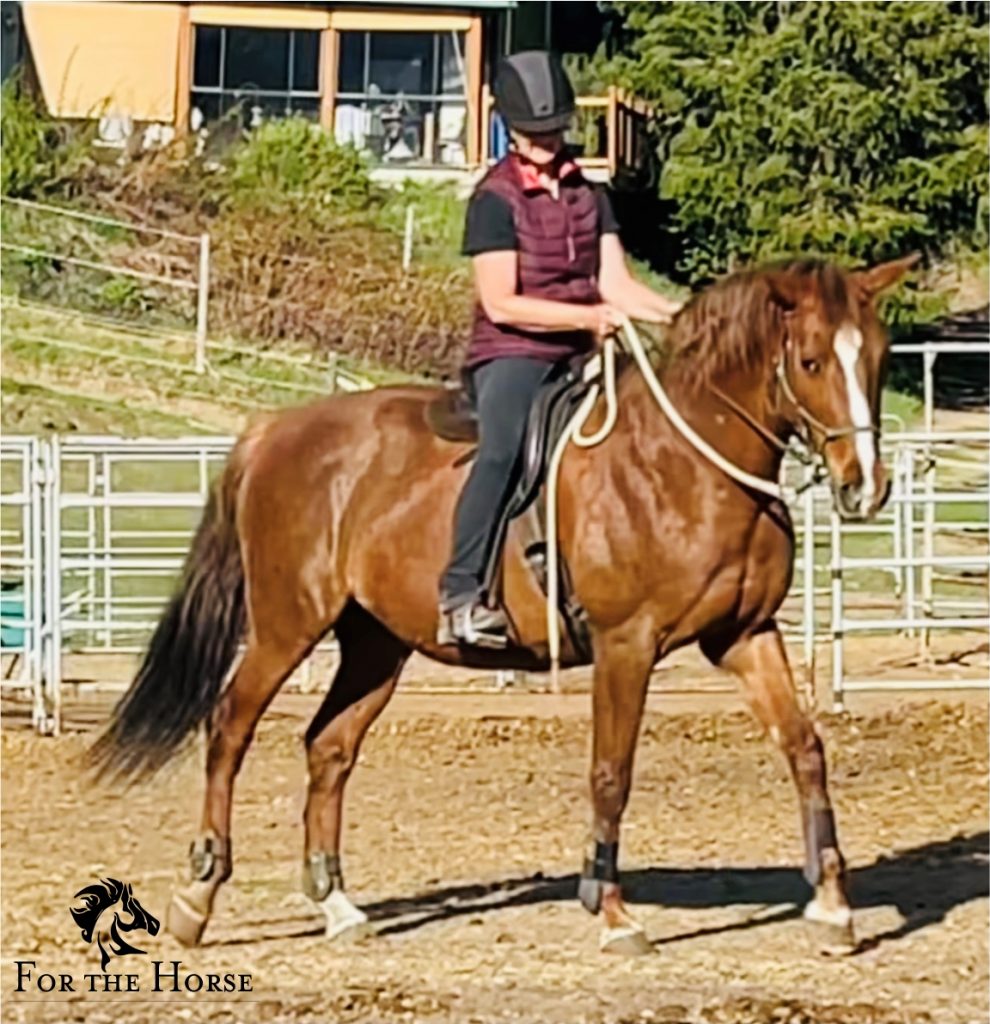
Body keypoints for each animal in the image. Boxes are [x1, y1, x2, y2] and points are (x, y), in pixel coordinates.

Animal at [89, 255, 917, 956]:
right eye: (810, 361)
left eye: (876, 358)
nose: (866, 486)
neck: (686, 466)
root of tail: (270, 431)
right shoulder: (627, 643)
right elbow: (611, 772)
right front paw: (612, 911)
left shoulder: (745, 634)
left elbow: (805, 748)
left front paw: (833, 908)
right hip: (286, 624)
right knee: (230, 728)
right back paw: (199, 896)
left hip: (376, 643)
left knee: (329, 747)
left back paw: (337, 905)